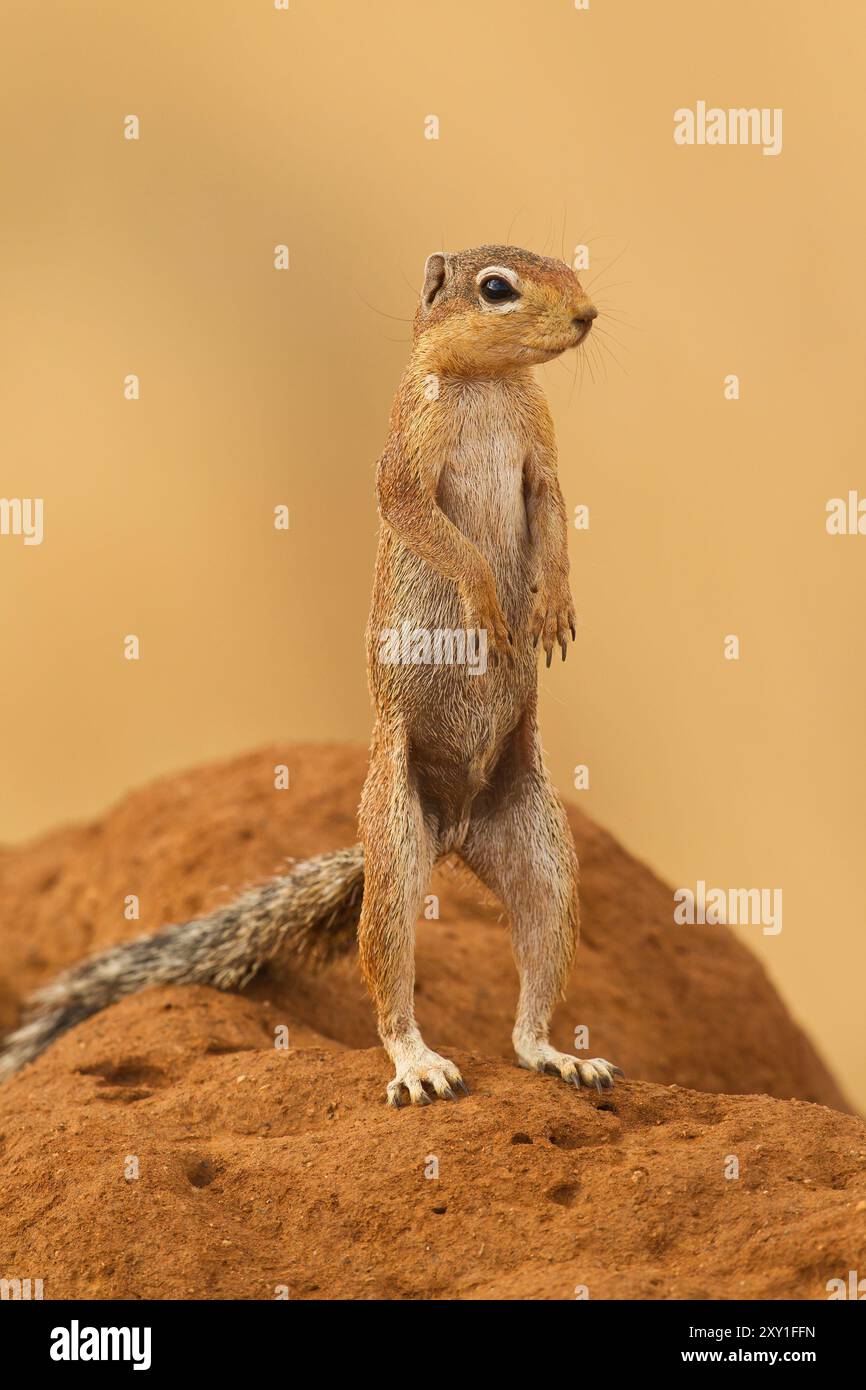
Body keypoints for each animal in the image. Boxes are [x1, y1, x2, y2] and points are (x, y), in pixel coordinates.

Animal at [0, 244, 622, 1105]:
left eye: (567, 264)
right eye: (497, 288)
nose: (587, 316)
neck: (491, 385)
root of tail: (454, 828)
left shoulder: (542, 454)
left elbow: (555, 513)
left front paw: (554, 607)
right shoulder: (405, 456)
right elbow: (428, 524)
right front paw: (488, 605)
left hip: (545, 861)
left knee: (532, 976)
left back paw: (558, 1055)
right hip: (394, 852)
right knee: (388, 985)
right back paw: (420, 1066)